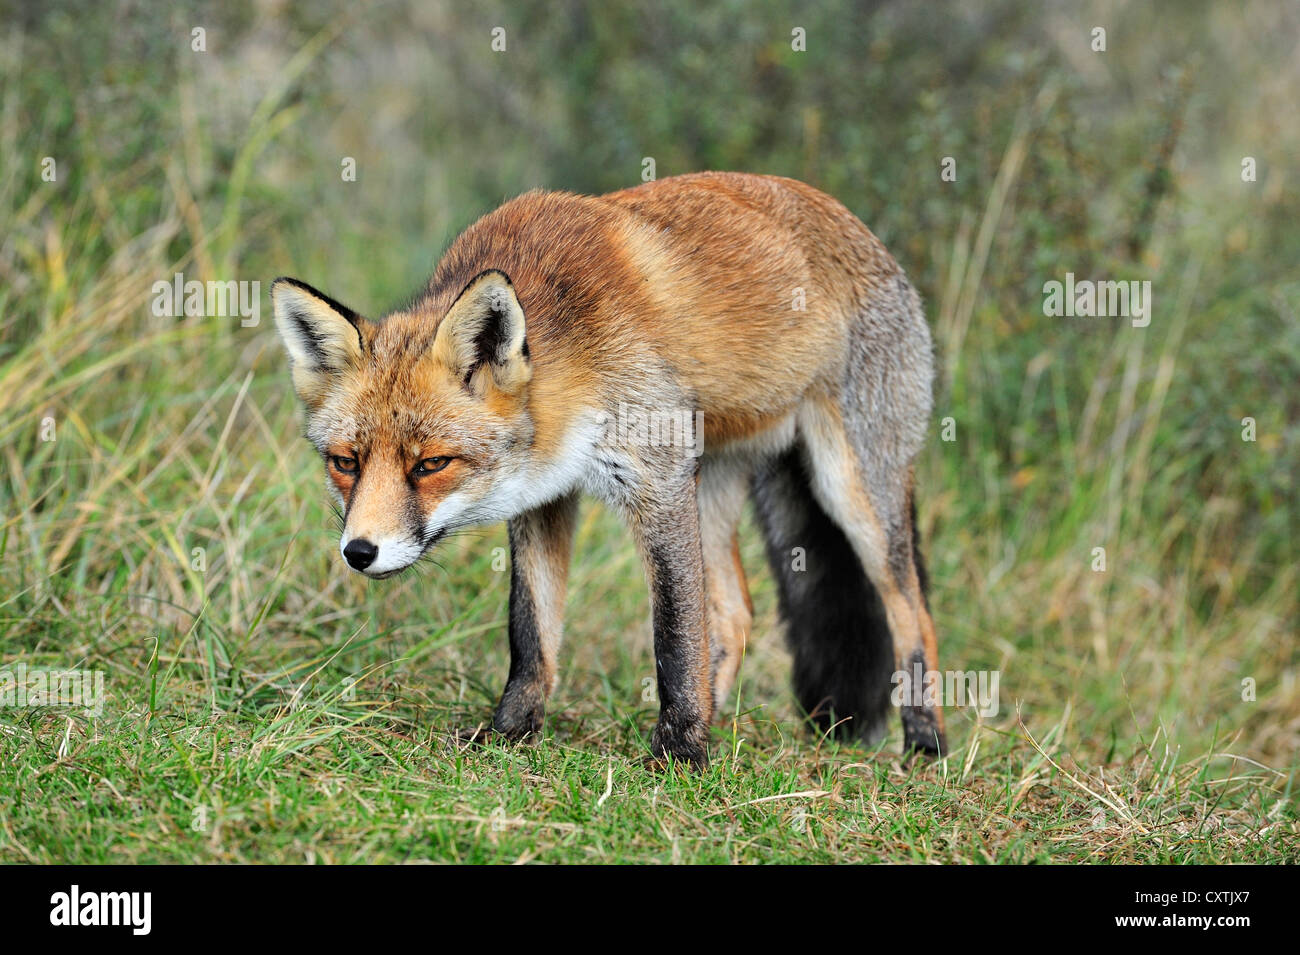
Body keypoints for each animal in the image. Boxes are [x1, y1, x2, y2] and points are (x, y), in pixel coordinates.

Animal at [271, 171, 945, 768]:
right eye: (345, 463)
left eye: (432, 463)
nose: (360, 551)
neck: (579, 362)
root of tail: (858, 225)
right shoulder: (543, 500)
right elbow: (532, 635)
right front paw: (509, 735)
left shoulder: (658, 483)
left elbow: (674, 635)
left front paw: (679, 756)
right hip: (713, 487)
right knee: (734, 614)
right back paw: (720, 721)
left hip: (851, 489)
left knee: (912, 609)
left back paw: (924, 742)